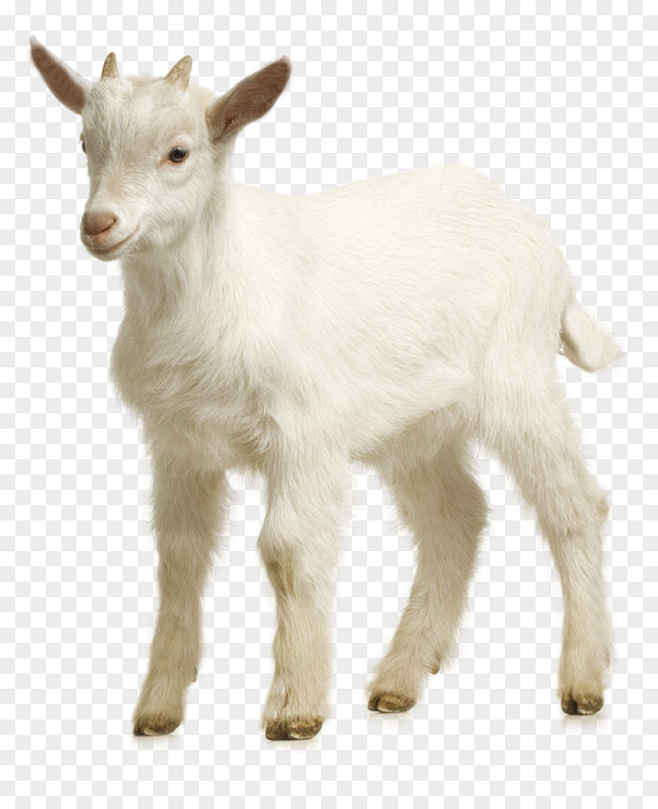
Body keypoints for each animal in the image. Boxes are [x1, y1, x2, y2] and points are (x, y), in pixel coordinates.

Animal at [30, 37, 623, 741]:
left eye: (178, 152)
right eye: (83, 143)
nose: (99, 224)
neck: (217, 284)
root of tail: (543, 243)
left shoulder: (303, 433)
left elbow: (286, 549)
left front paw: (296, 709)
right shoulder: (178, 442)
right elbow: (179, 557)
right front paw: (158, 707)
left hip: (518, 377)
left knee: (574, 506)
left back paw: (583, 680)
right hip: (415, 424)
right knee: (455, 515)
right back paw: (400, 680)